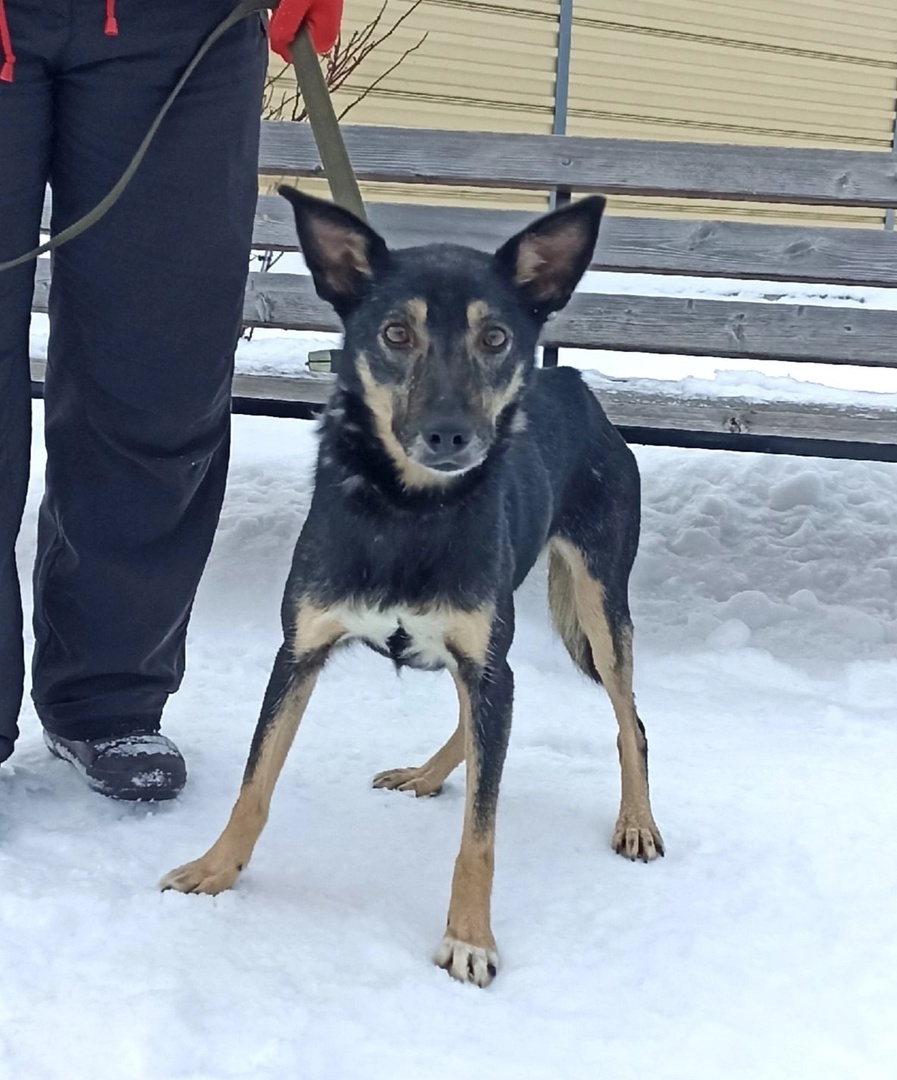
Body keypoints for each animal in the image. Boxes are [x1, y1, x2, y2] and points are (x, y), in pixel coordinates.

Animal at [161, 187, 664, 989]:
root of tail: (574, 382)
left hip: (597, 600)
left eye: (495, 337)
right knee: (477, 714)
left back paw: (636, 821)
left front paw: (469, 938)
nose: (449, 435)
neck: (408, 511)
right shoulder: (298, 653)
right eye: (395, 332)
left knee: (629, 720)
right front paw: (216, 871)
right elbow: (254, 785)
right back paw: (429, 775)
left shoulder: (487, 660)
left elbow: (480, 834)